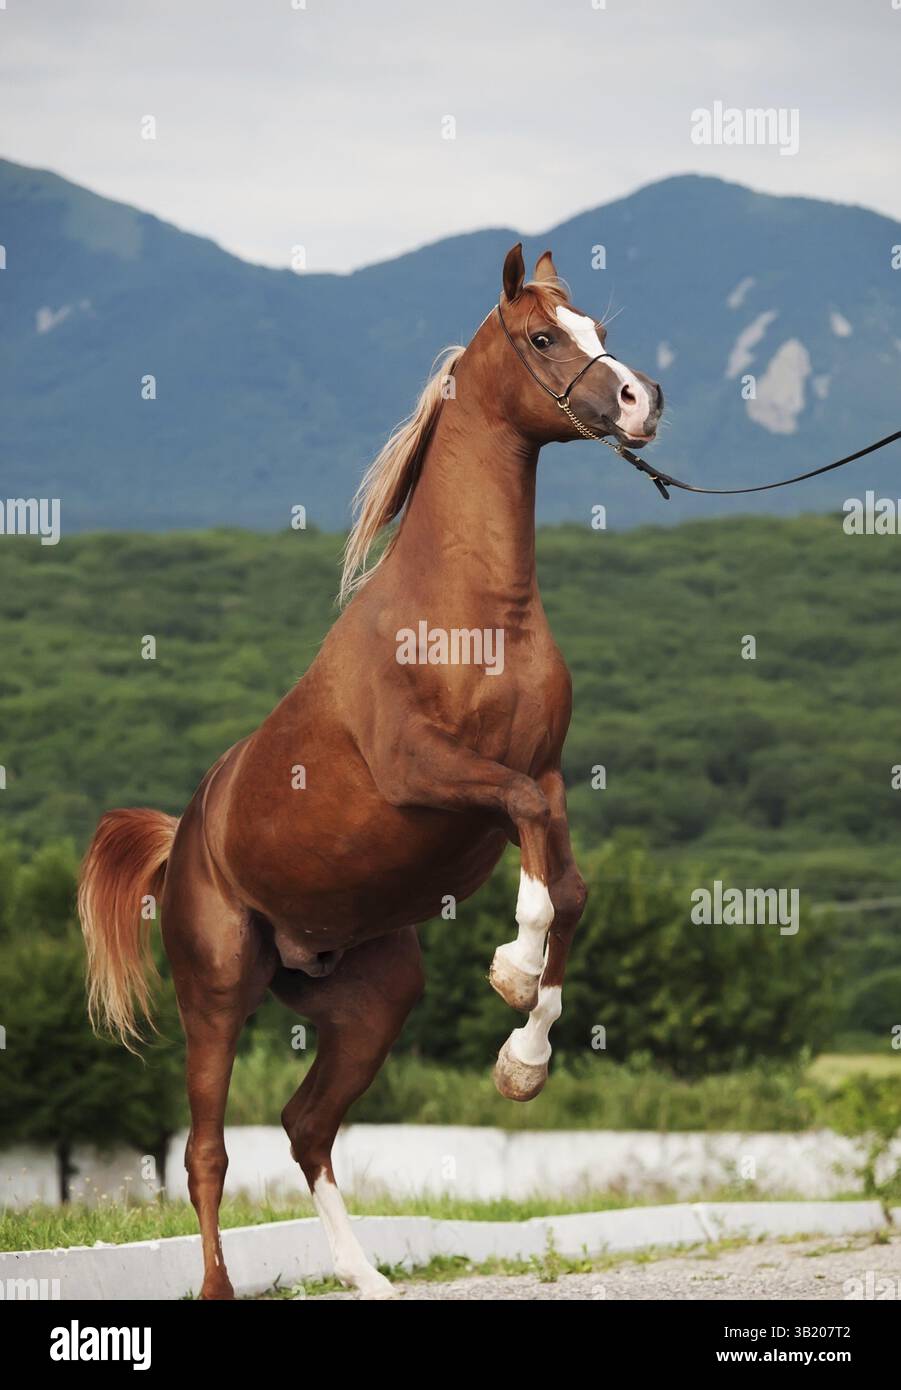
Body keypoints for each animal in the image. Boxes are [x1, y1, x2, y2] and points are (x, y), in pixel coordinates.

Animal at [78, 243, 663, 1299]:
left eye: (598, 326)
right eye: (542, 337)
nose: (644, 401)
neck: (474, 615)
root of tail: (184, 841)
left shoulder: (549, 777)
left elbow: (569, 885)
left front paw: (522, 1054)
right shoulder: (428, 774)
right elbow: (530, 845)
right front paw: (513, 970)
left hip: (368, 1001)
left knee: (305, 1127)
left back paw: (368, 1277)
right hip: (215, 993)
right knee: (207, 1152)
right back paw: (222, 1287)